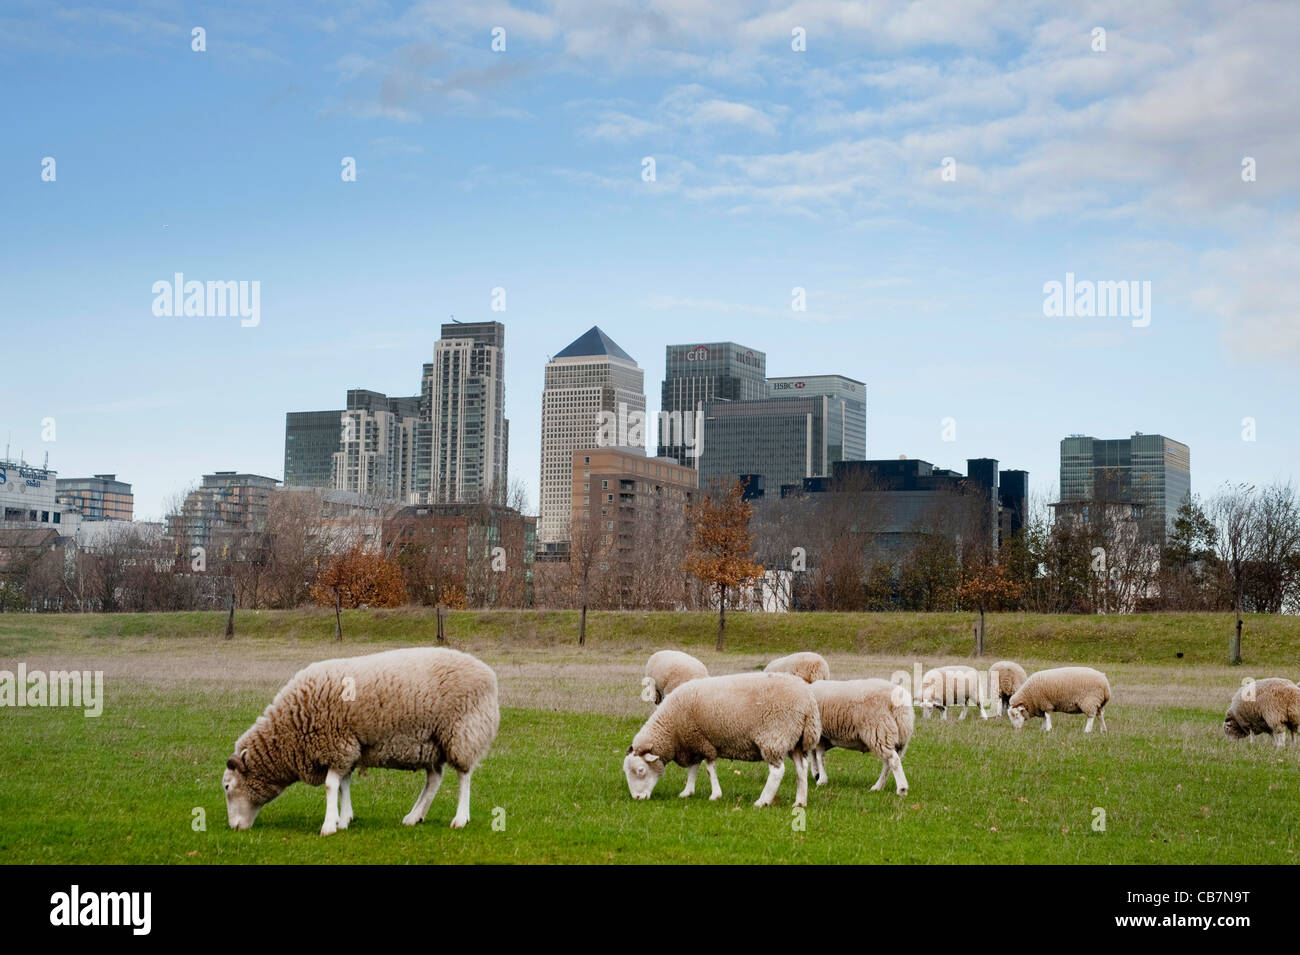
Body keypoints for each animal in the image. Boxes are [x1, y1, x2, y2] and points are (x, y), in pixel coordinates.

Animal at [223, 646, 499, 835]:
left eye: (227, 787)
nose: (233, 826)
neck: (293, 725)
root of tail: (488, 673)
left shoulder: (337, 745)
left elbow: (330, 786)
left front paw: (329, 825)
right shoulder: (346, 749)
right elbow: (343, 785)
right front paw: (344, 819)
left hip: (462, 732)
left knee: (464, 776)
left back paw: (460, 818)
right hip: (429, 743)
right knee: (434, 779)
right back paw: (414, 816)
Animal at [623, 671, 820, 808]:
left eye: (640, 770)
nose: (637, 798)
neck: (672, 730)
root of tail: (809, 702)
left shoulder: (703, 741)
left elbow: (709, 769)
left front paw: (715, 795)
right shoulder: (693, 743)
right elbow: (693, 769)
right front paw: (687, 792)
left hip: (774, 738)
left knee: (778, 771)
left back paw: (762, 801)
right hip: (795, 741)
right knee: (801, 769)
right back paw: (800, 802)